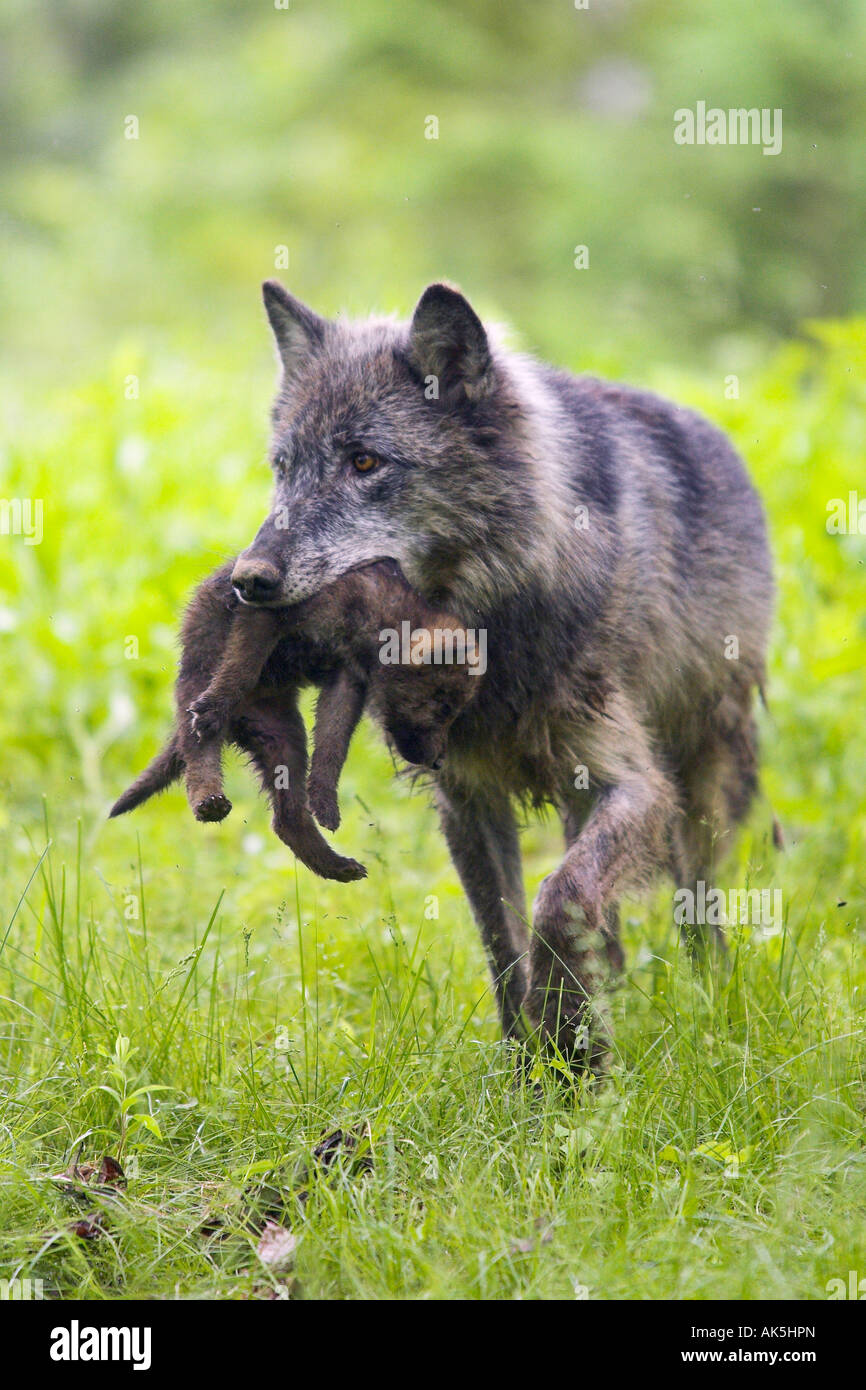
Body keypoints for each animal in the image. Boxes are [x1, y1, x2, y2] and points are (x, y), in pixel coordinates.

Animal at [110, 559, 481, 881]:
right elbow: (241, 668)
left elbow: (332, 745)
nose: (439, 762)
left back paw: (336, 866)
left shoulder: (346, 679)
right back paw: (208, 798)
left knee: (286, 819)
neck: (378, 615)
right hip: (197, 678)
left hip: (283, 736)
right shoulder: (267, 613)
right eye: (444, 708)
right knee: (199, 750)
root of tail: (240, 720)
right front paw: (217, 702)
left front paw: (325, 802)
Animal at [223, 278, 773, 1068]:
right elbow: (503, 939)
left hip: (701, 773)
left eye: (365, 463)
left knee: (697, 901)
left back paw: (711, 1002)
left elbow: (559, 900)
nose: (249, 580)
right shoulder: (467, 798)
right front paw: (527, 1068)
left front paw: (572, 1048)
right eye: (282, 468)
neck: (491, 622)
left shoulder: (635, 781)